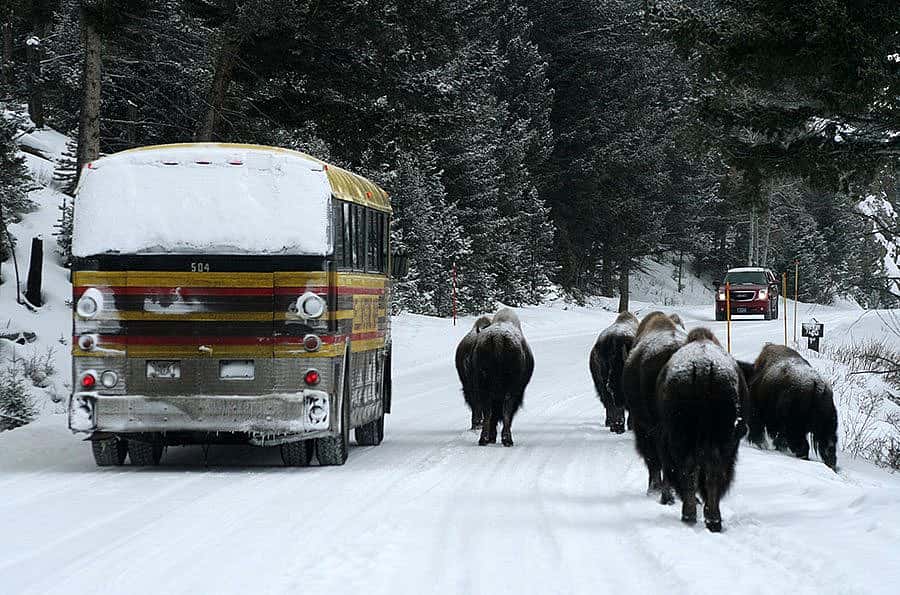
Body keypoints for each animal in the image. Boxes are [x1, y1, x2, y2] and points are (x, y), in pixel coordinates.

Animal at [472, 308, 534, 446]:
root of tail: (498, 338)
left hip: (485, 388)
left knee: (488, 412)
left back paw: (484, 439)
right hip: (510, 390)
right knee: (505, 411)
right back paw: (507, 440)